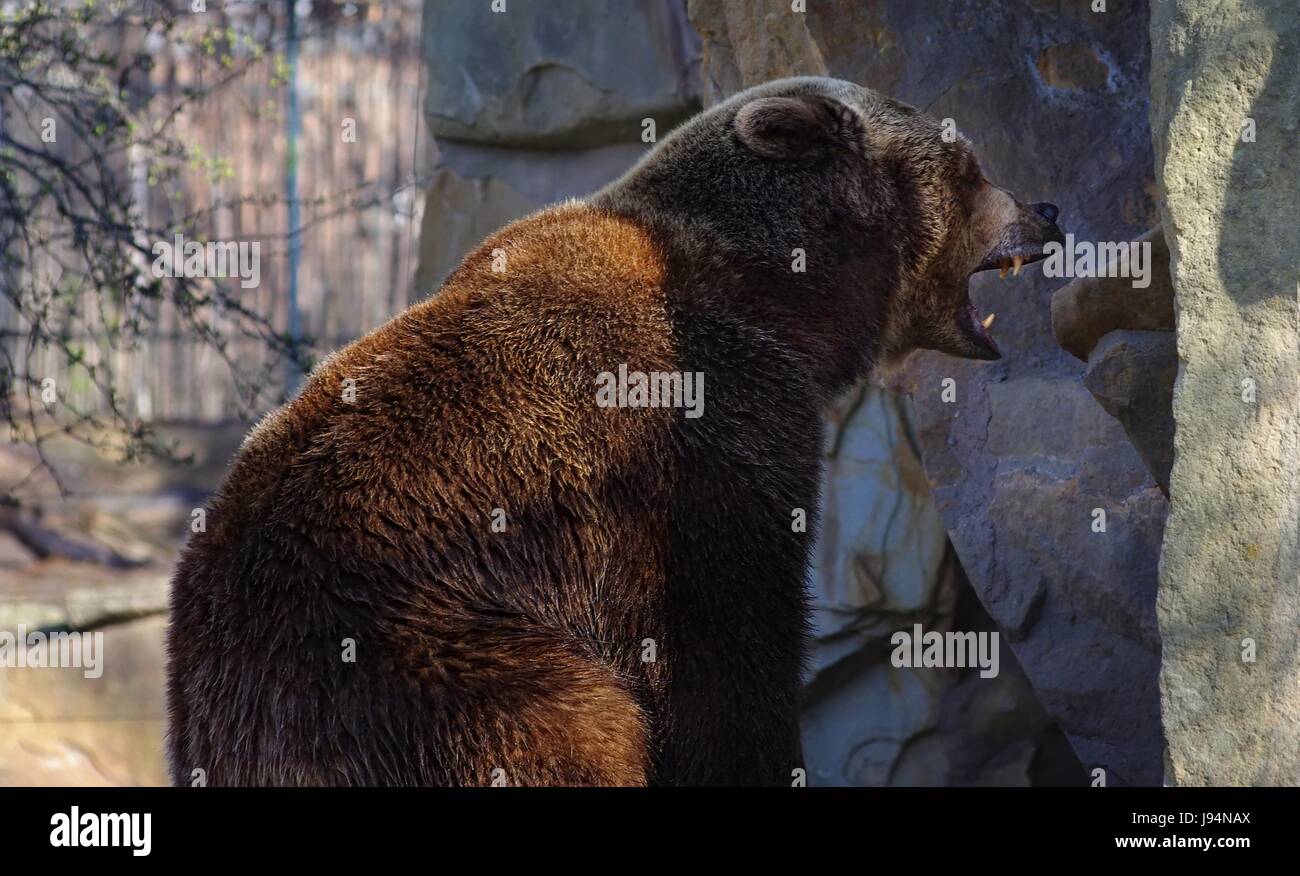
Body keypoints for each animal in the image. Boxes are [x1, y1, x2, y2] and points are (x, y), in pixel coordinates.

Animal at [165, 76, 1064, 787]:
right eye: (970, 166)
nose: (1047, 209)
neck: (773, 294)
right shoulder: (694, 442)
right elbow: (719, 654)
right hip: (429, 665)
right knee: (566, 723)